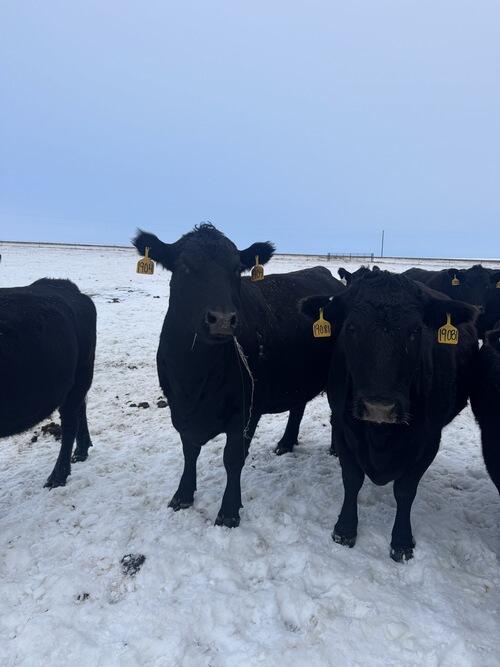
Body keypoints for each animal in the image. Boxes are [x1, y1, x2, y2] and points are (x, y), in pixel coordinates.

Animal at [132, 224, 344, 527]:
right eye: (184, 267)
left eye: (235, 269)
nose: (221, 319)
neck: (195, 376)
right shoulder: (179, 407)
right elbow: (189, 451)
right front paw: (182, 495)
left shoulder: (246, 410)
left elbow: (233, 459)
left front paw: (229, 511)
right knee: (298, 407)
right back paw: (285, 443)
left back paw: (335, 448)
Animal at [301, 271, 478, 561]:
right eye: (351, 328)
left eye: (416, 330)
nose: (379, 407)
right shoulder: (342, 425)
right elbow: (352, 479)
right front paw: (344, 530)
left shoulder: (429, 439)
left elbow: (405, 490)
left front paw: (402, 542)